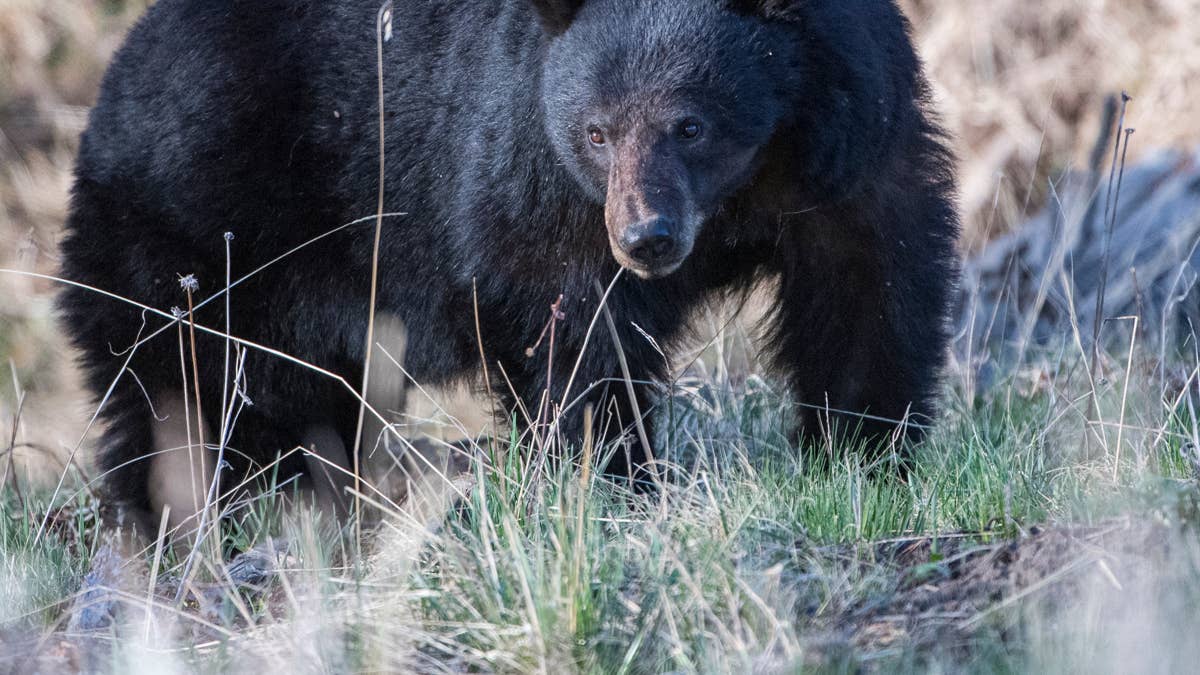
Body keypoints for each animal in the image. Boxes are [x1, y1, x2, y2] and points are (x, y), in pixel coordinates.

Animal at [58, 0, 959, 529]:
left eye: (689, 124)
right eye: (597, 131)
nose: (648, 239)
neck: (745, 187)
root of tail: (107, 92)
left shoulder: (853, 145)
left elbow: (869, 288)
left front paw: (866, 452)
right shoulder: (532, 173)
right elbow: (578, 332)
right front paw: (608, 476)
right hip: (201, 240)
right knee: (186, 390)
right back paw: (196, 518)